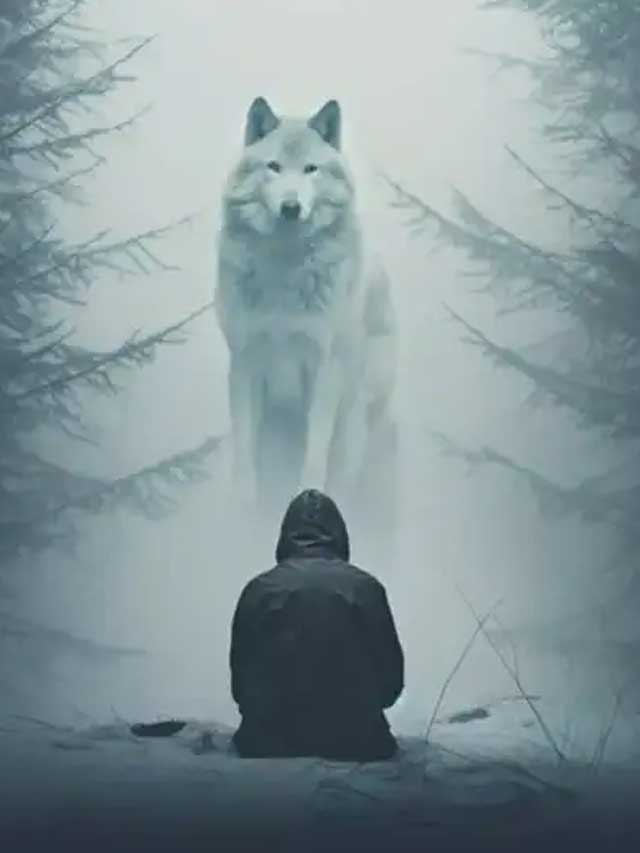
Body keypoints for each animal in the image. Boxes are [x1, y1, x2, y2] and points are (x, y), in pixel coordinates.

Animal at [214, 96, 398, 522]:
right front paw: (245, 505)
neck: (284, 266)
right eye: (274, 166)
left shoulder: (324, 366)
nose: (290, 207)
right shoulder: (245, 361)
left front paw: (309, 498)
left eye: (311, 169)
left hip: (357, 410)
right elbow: (245, 448)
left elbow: (316, 450)